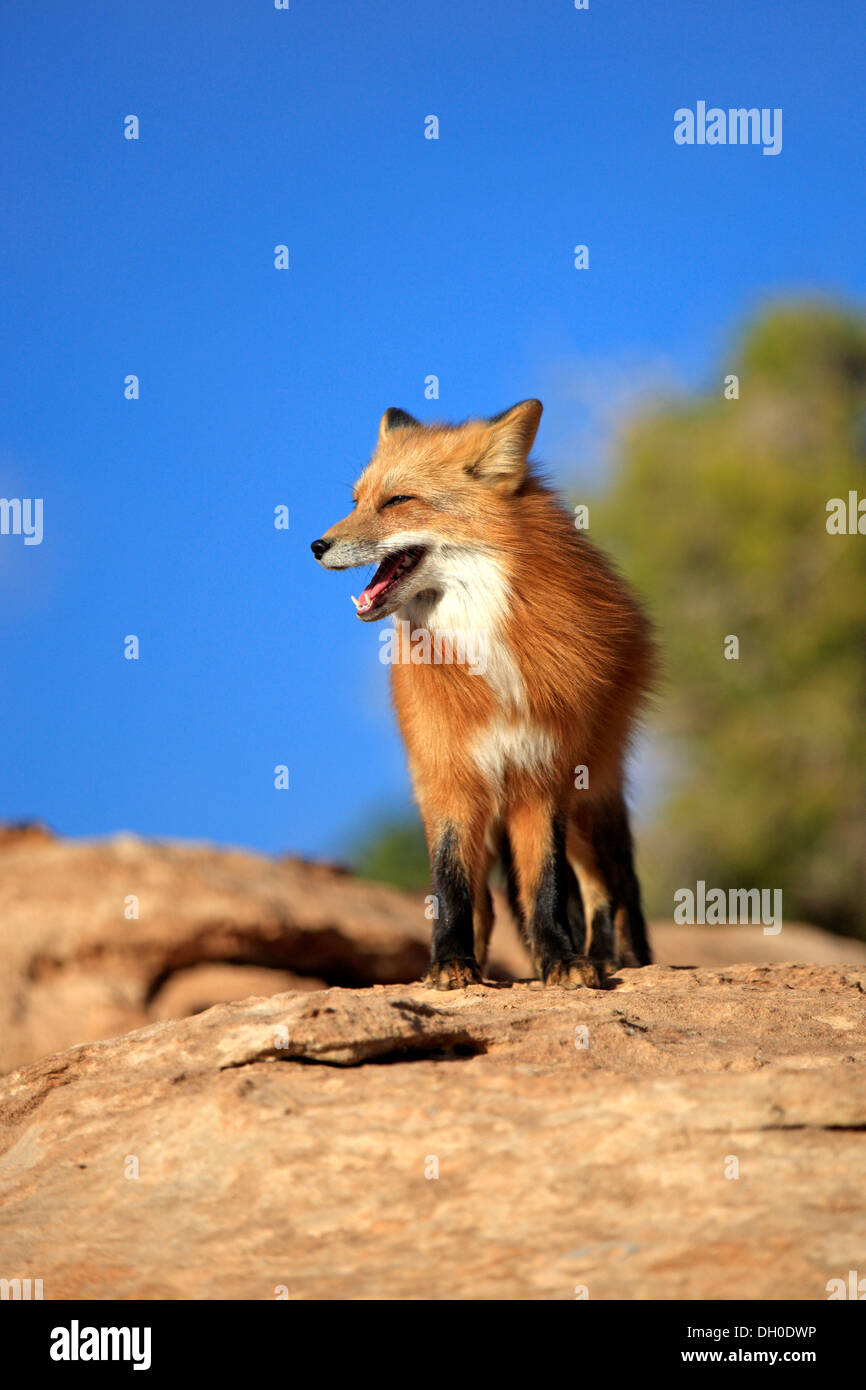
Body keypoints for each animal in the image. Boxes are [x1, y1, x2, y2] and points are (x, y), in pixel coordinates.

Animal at [311, 399, 656, 990]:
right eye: (355, 502)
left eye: (397, 501)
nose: (316, 546)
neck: (484, 651)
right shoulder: (446, 773)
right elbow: (452, 887)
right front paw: (451, 962)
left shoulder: (542, 775)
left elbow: (546, 884)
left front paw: (562, 959)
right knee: (490, 901)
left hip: (591, 791)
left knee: (604, 886)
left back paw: (609, 956)